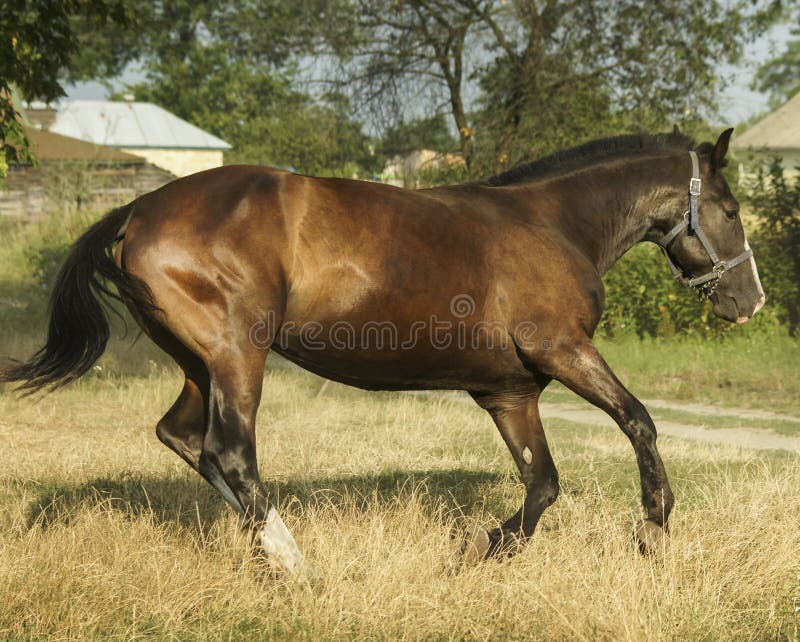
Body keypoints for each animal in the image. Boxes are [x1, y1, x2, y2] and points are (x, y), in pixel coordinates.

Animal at [1, 128, 764, 580]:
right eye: (730, 210)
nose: (749, 302)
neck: (553, 226)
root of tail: (135, 213)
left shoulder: (510, 392)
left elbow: (542, 481)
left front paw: (483, 550)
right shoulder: (563, 349)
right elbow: (639, 421)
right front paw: (653, 532)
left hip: (199, 363)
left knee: (183, 438)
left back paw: (266, 547)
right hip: (237, 355)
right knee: (229, 452)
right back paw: (296, 566)